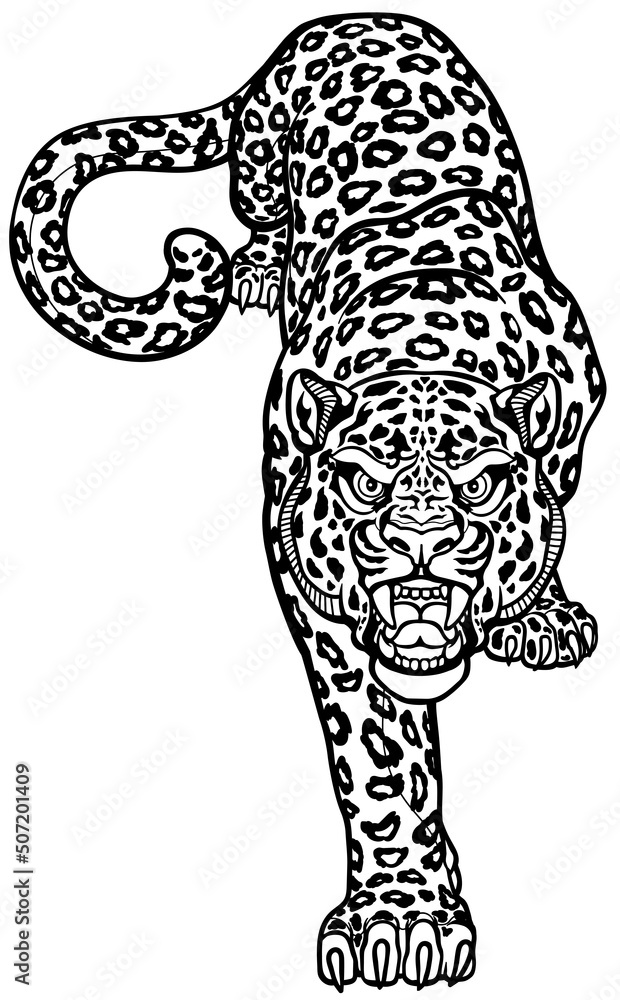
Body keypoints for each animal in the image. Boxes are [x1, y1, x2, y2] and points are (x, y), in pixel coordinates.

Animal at [11, 12, 605, 990]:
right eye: (364, 481)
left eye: (479, 482)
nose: (420, 544)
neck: (427, 331)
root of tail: (338, 20)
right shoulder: (309, 584)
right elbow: (378, 758)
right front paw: (402, 917)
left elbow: (555, 499)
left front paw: (538, 613)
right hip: (256, 168)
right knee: (259, 214)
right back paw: (256, 269)